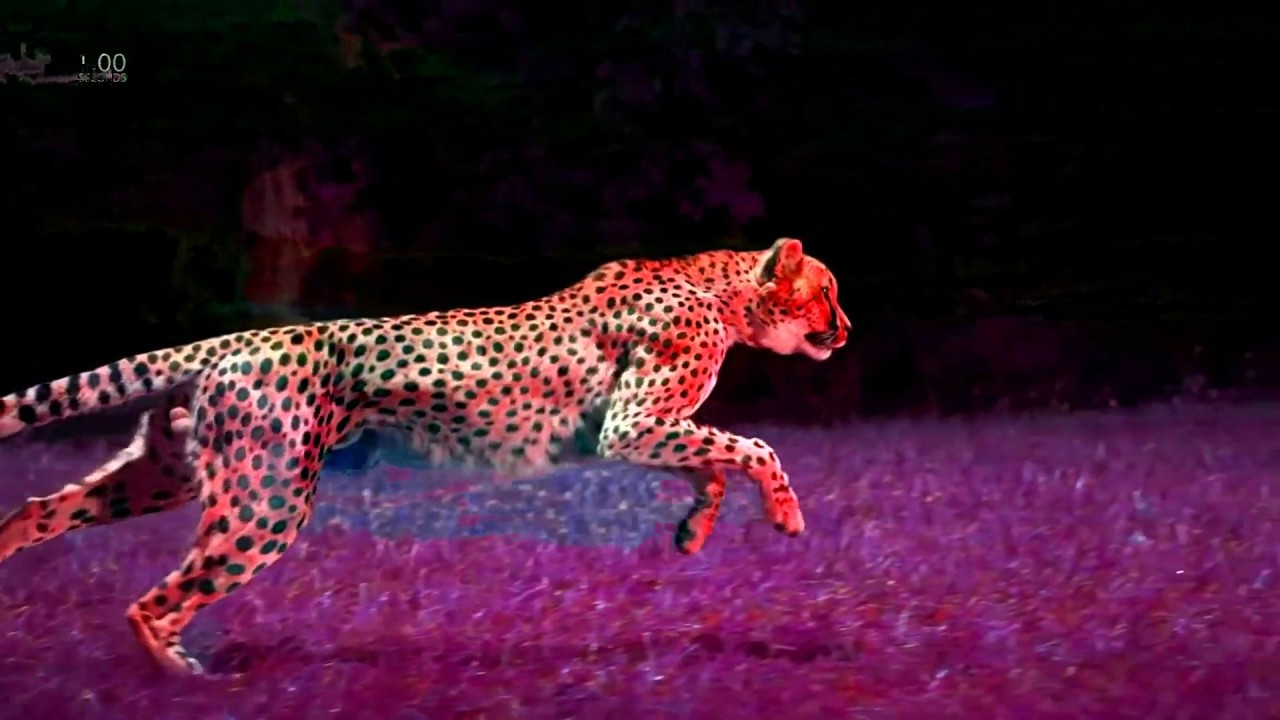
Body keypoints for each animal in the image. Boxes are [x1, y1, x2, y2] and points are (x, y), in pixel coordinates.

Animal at [0, 237, 851, 675]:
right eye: (826, 291)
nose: (845, 330)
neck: (722, 289)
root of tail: (240, 338)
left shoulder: (637, 428)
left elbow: (711, 463)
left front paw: (693, 530)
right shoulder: (633, 421)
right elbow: (755, 446)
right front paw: (786, 514)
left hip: (173, 474)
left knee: (38, 508)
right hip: (266, 503)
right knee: (155, 601)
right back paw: (185, 682)